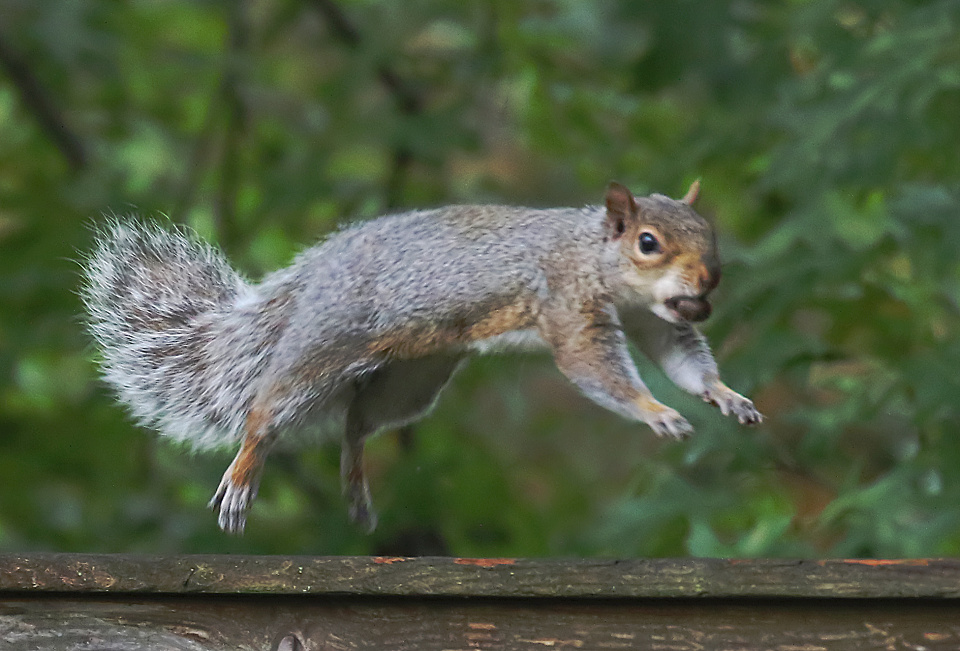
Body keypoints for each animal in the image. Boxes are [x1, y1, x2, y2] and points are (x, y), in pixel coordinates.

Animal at [81, 181, 762, 534]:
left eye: (708, 232)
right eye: (648, 242)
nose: (710, 281)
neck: (595, 258)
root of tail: (319, 271)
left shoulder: (656, 323)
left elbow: (683, 362)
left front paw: (726, 396)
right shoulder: (567, 303)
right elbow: (596, 369)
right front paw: (655, 412)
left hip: (412, 379)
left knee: (358, 421)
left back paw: (356, 489)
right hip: (326, 348)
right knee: (267, 409)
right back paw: (245, 475)